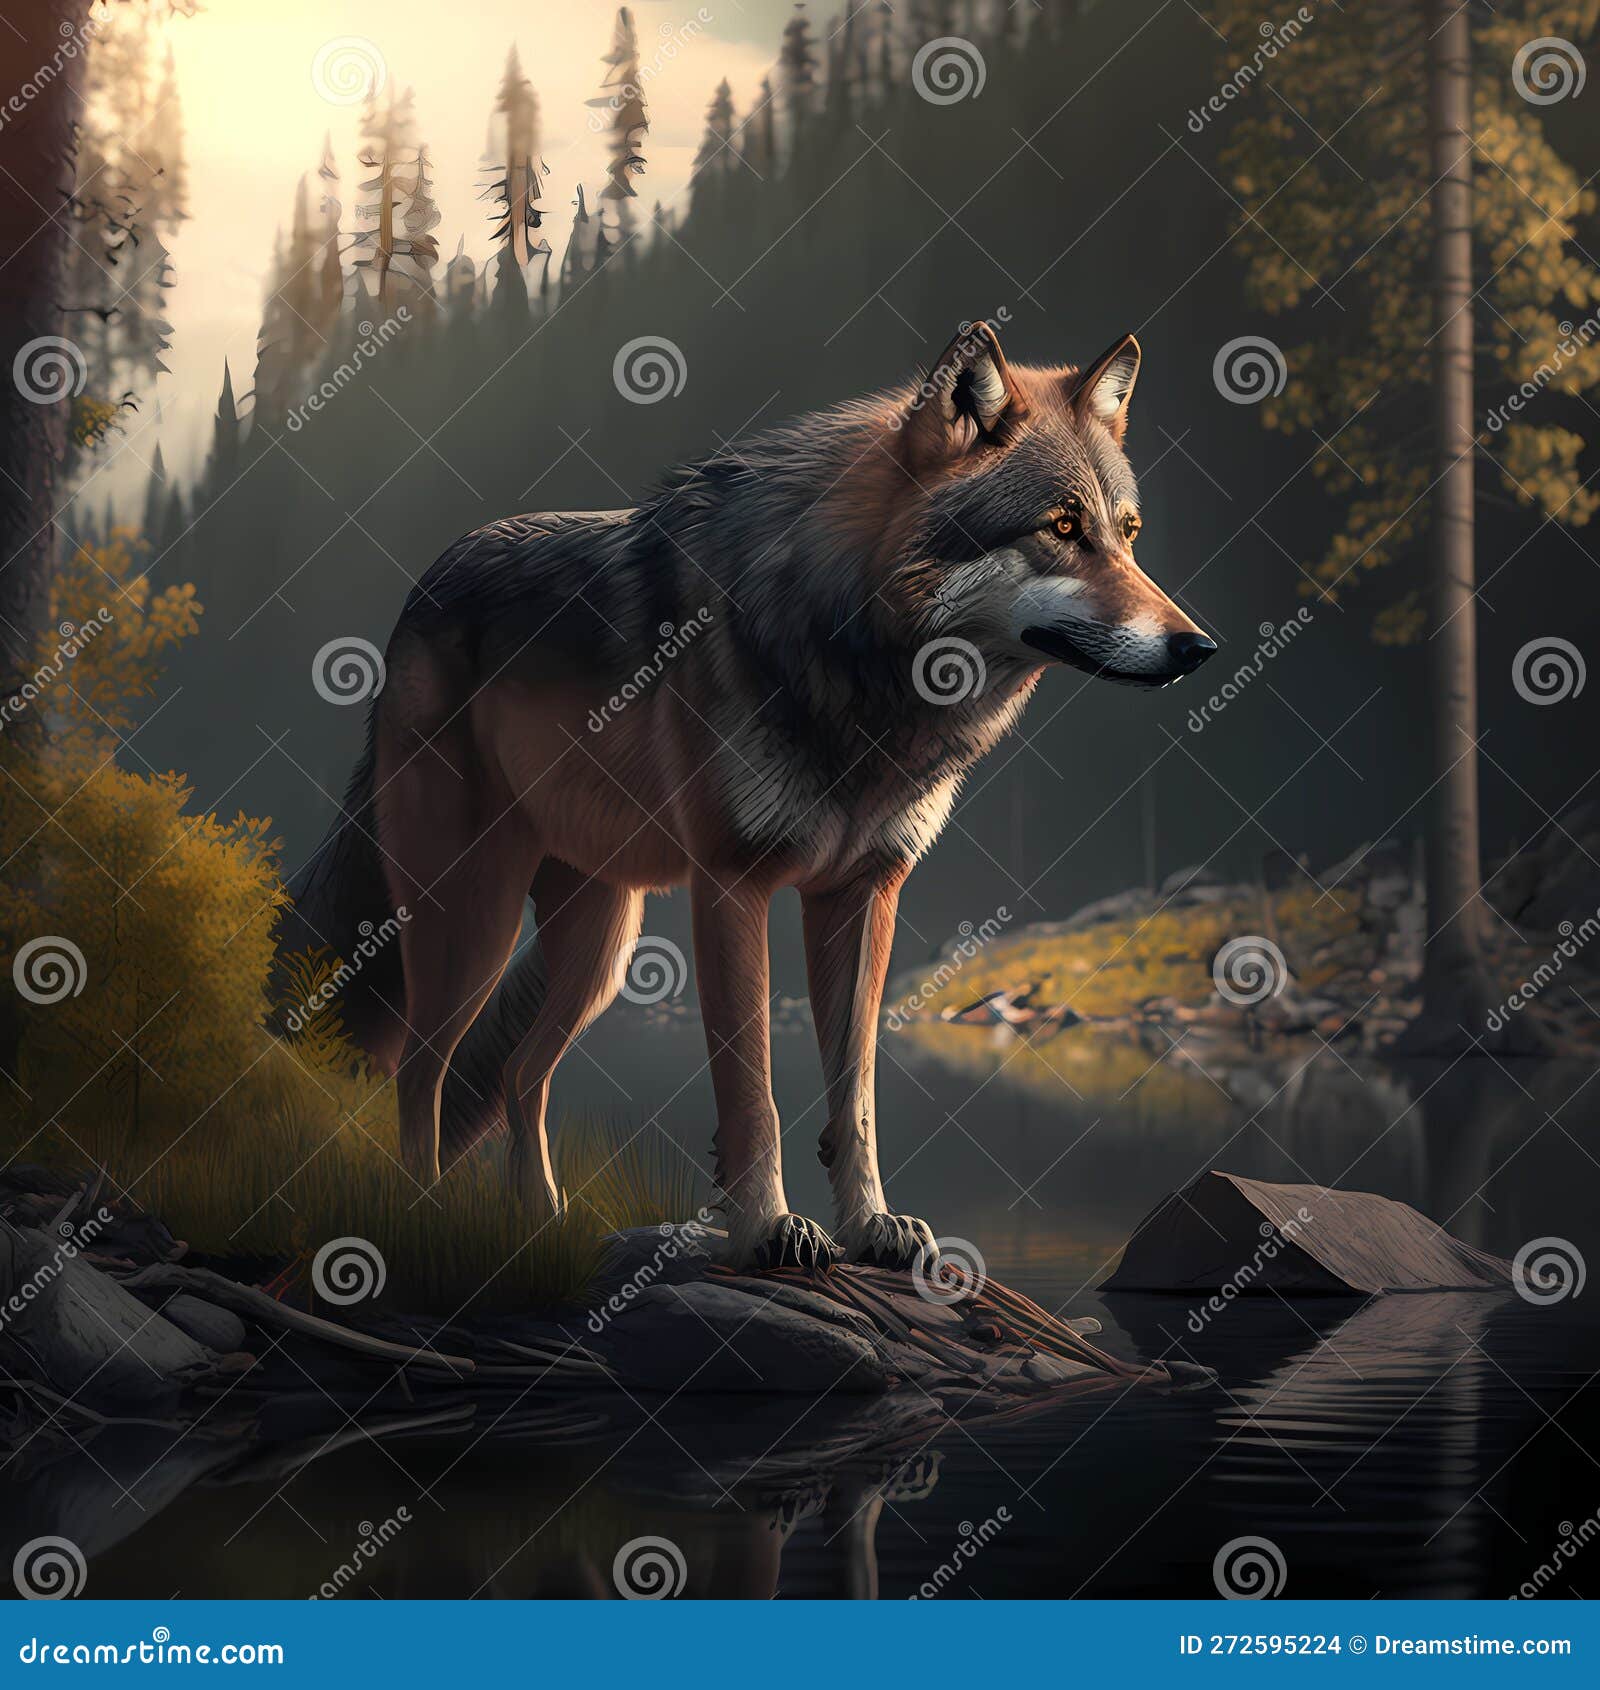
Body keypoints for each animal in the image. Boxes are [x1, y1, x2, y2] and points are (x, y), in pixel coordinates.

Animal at [282, 320, 1216, 1270]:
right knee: (418, 1071)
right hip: (474, 919)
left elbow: (856, 1093)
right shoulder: (733, 884)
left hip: (600, 945)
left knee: (516, 1071)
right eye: (1062, 528)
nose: (1199, 648)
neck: (859, 669)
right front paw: (768, 1229)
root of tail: (422, 586)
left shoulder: (864, 894)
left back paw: (542, 1222)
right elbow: (752, 1092)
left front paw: (872, 1226)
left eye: (1128, 535)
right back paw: (426, 1213)